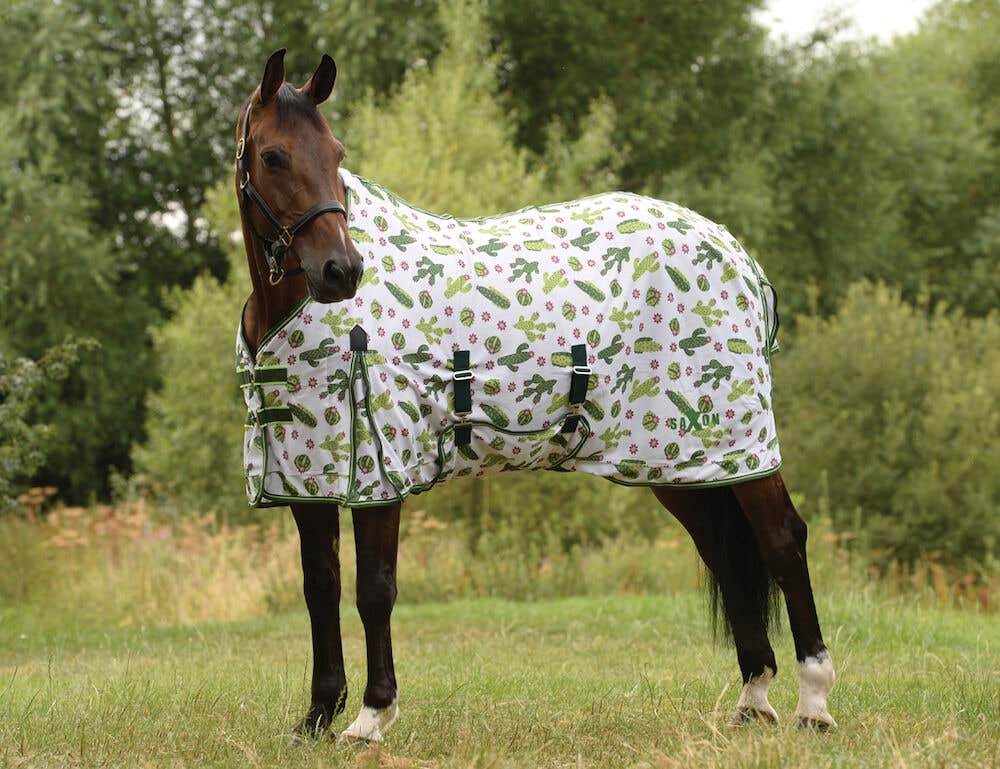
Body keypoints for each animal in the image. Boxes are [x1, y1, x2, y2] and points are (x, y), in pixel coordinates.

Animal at [234, 49, 836, 741]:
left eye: (336, 153)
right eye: (273, 156)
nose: (341, 271)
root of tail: (738, 254)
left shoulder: (380, 473)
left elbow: (374, 590)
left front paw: (370, 715)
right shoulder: (308, 478)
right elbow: (320, 589)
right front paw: (316, 717)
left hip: (741, 443)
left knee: (783, 541)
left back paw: (814, 702)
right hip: (686, 462)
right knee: (725, 554)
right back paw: (754, 697)